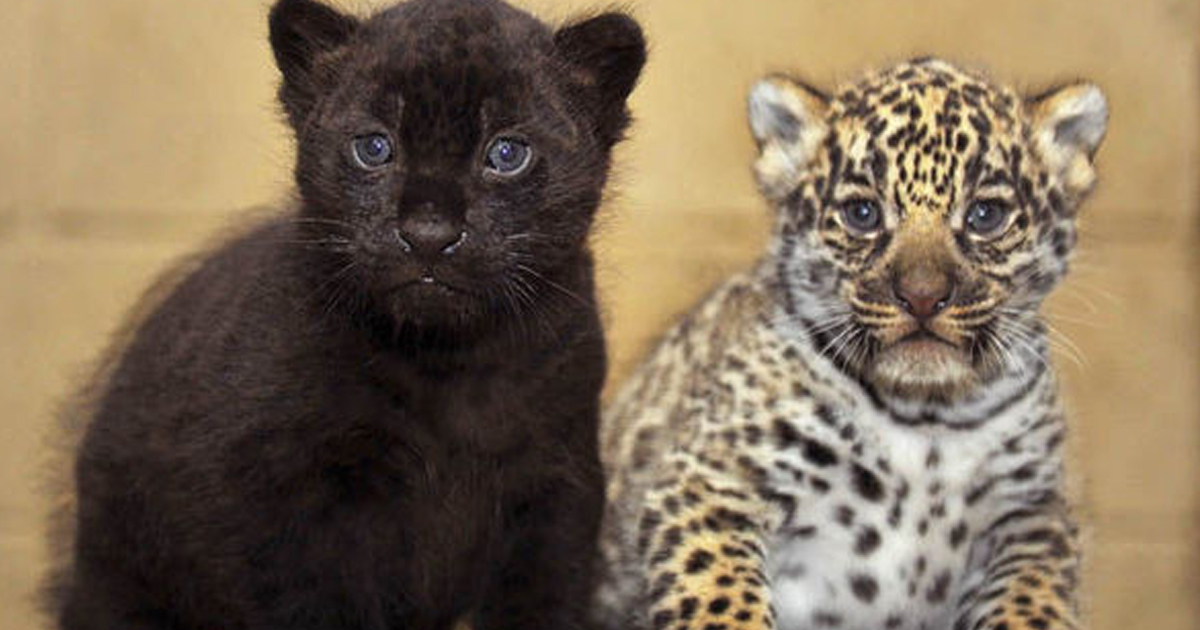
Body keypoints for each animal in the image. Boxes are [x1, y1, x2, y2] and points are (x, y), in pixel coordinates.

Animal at [593, 57, 1107, 630]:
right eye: (863, 214)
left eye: (984, 216)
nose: (923, 297)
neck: (925, 421)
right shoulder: (712, 482)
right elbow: (720, 599)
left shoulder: (1033, 511)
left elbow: (1031, 602)